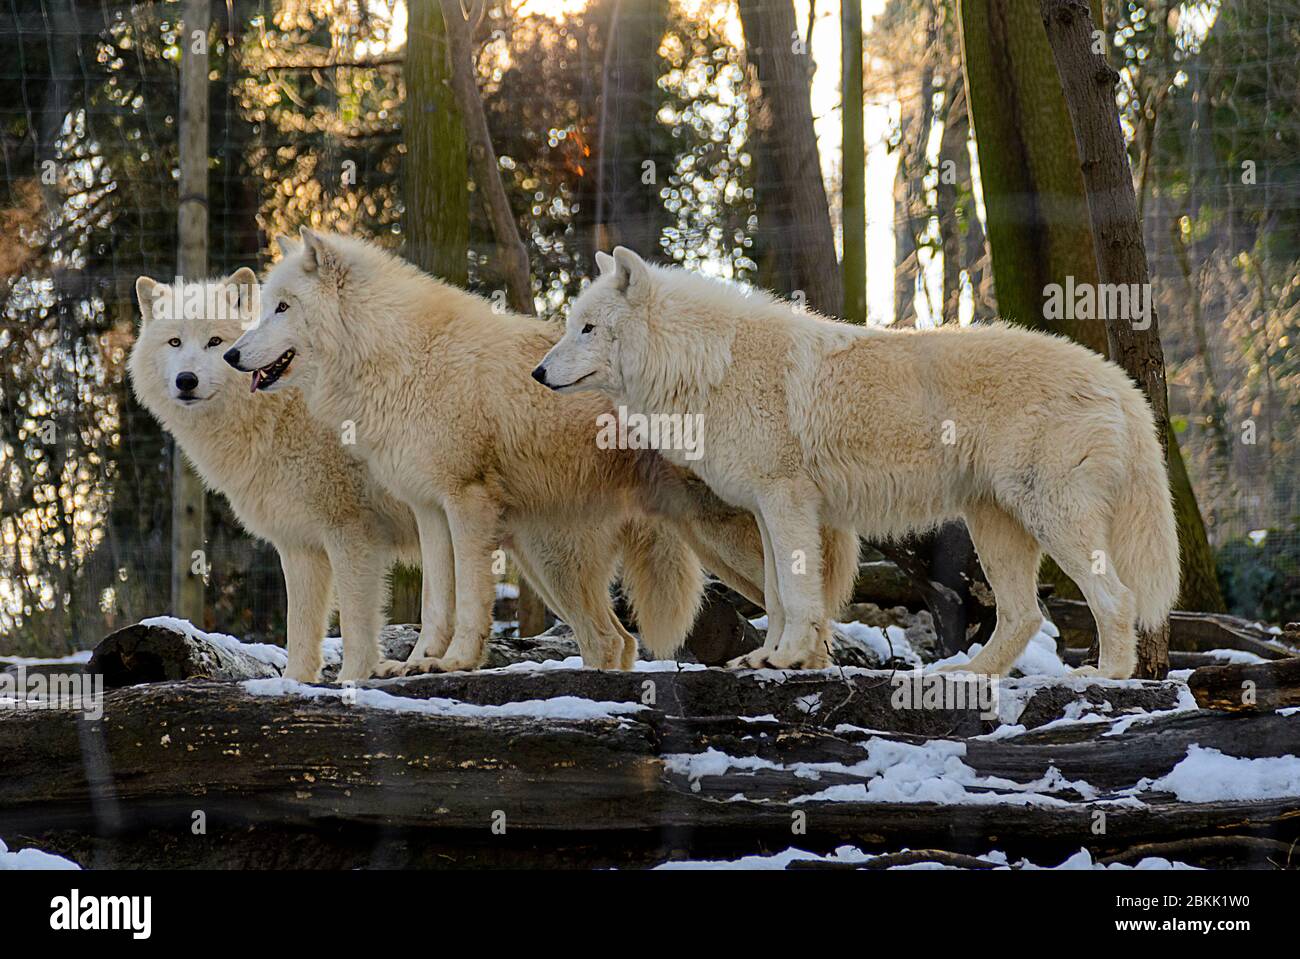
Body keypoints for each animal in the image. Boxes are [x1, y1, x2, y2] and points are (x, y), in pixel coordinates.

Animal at [222, 231, 859, 674]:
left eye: (281, 307)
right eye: (263, 306)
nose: (231, 354)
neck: (402, 357)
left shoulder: (465, 501)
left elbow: (468, 602)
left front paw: (457, 662)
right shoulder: (429, 509)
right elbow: (434, 603)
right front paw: (420, 663)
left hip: (723, 539)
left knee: (819, 611)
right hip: (556, 564)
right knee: (615, 640)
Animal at [533, 248, 1180, 679]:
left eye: (587, 329)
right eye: (569, 326)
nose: (538, 373)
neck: (708, 364)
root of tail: (1116, 379)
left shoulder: (786, 499)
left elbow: (796, 594)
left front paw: (789, 658)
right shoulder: (769, 509)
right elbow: (777, 592)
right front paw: (774, 656)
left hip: (1051, 517)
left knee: (1116, 598)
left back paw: (1105, 676)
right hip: (996, 525)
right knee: (1022, 616)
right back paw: (961, 677)